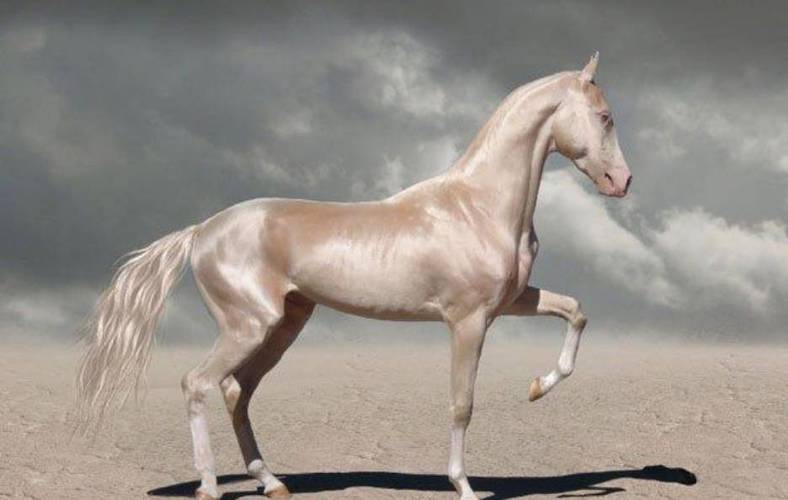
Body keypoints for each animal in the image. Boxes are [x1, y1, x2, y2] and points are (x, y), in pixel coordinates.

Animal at [76, 53, 632, 500]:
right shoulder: (468, 321)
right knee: (197, 383)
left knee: (238, 391)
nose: (622, 182)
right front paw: (465, 486)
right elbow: (462, 404)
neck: (478, 206)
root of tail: (201, 231)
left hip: (283, 326)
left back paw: (273, 483)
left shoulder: (512, 302)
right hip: (248, 326)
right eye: (605, 117)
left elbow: (576, 312)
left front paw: (539, 386)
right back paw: (210, 487)